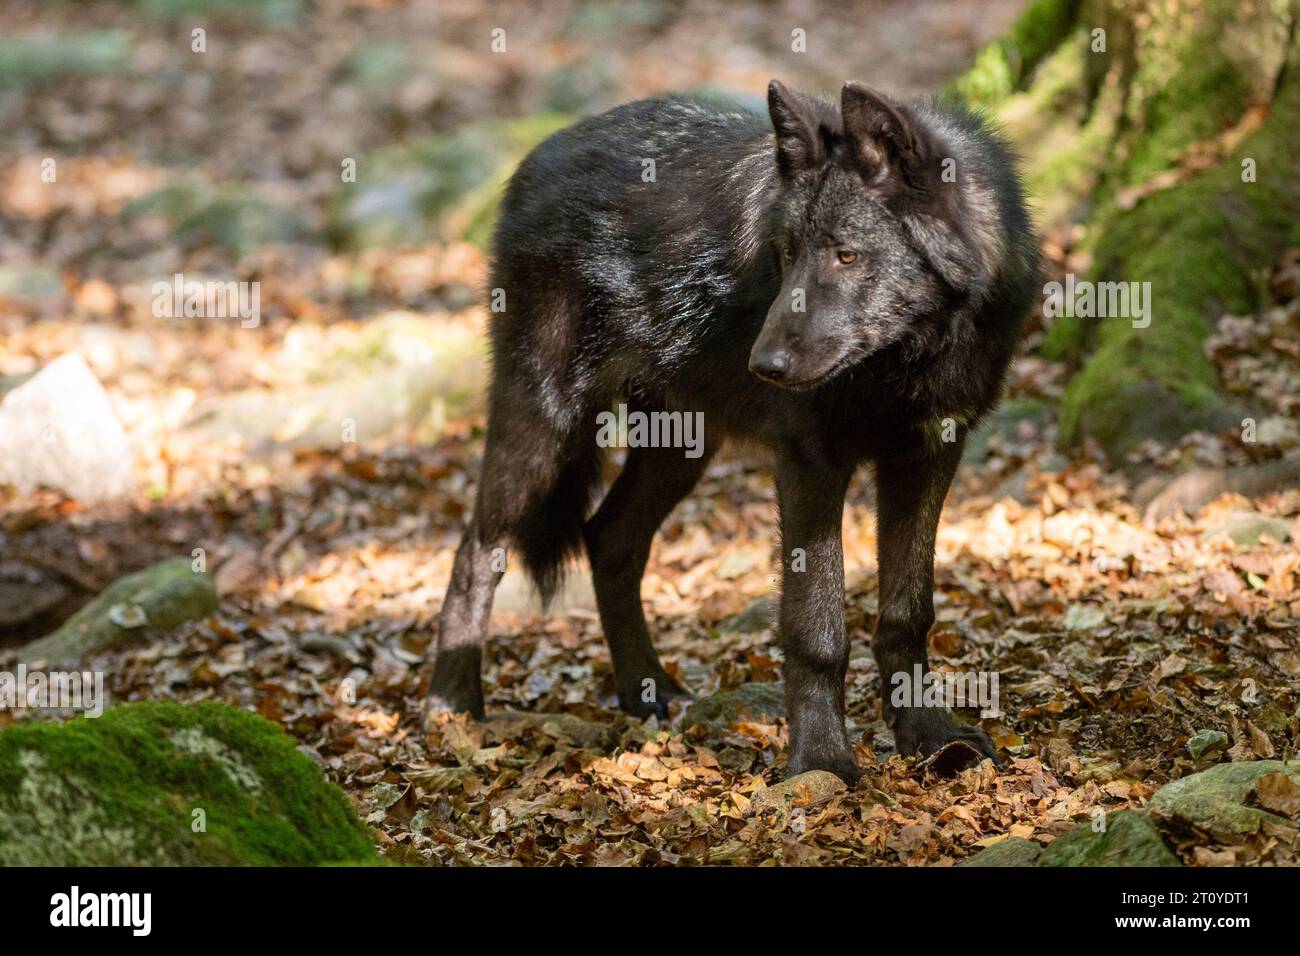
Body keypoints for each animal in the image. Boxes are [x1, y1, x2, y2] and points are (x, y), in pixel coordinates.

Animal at [423, 80, 1039, 783]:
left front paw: (930, 738)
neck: (905, 361)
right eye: (787, 255)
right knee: (475, 551)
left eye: (846, 255)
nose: (763, 366)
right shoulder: (808, 464)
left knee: (607, 538)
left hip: (681, 447)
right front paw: (821, 761)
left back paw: (646, 692)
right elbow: (816, 630)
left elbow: (908, 613)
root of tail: (537, 157)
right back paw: (452, 707)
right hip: (545, 428)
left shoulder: (930, 455)